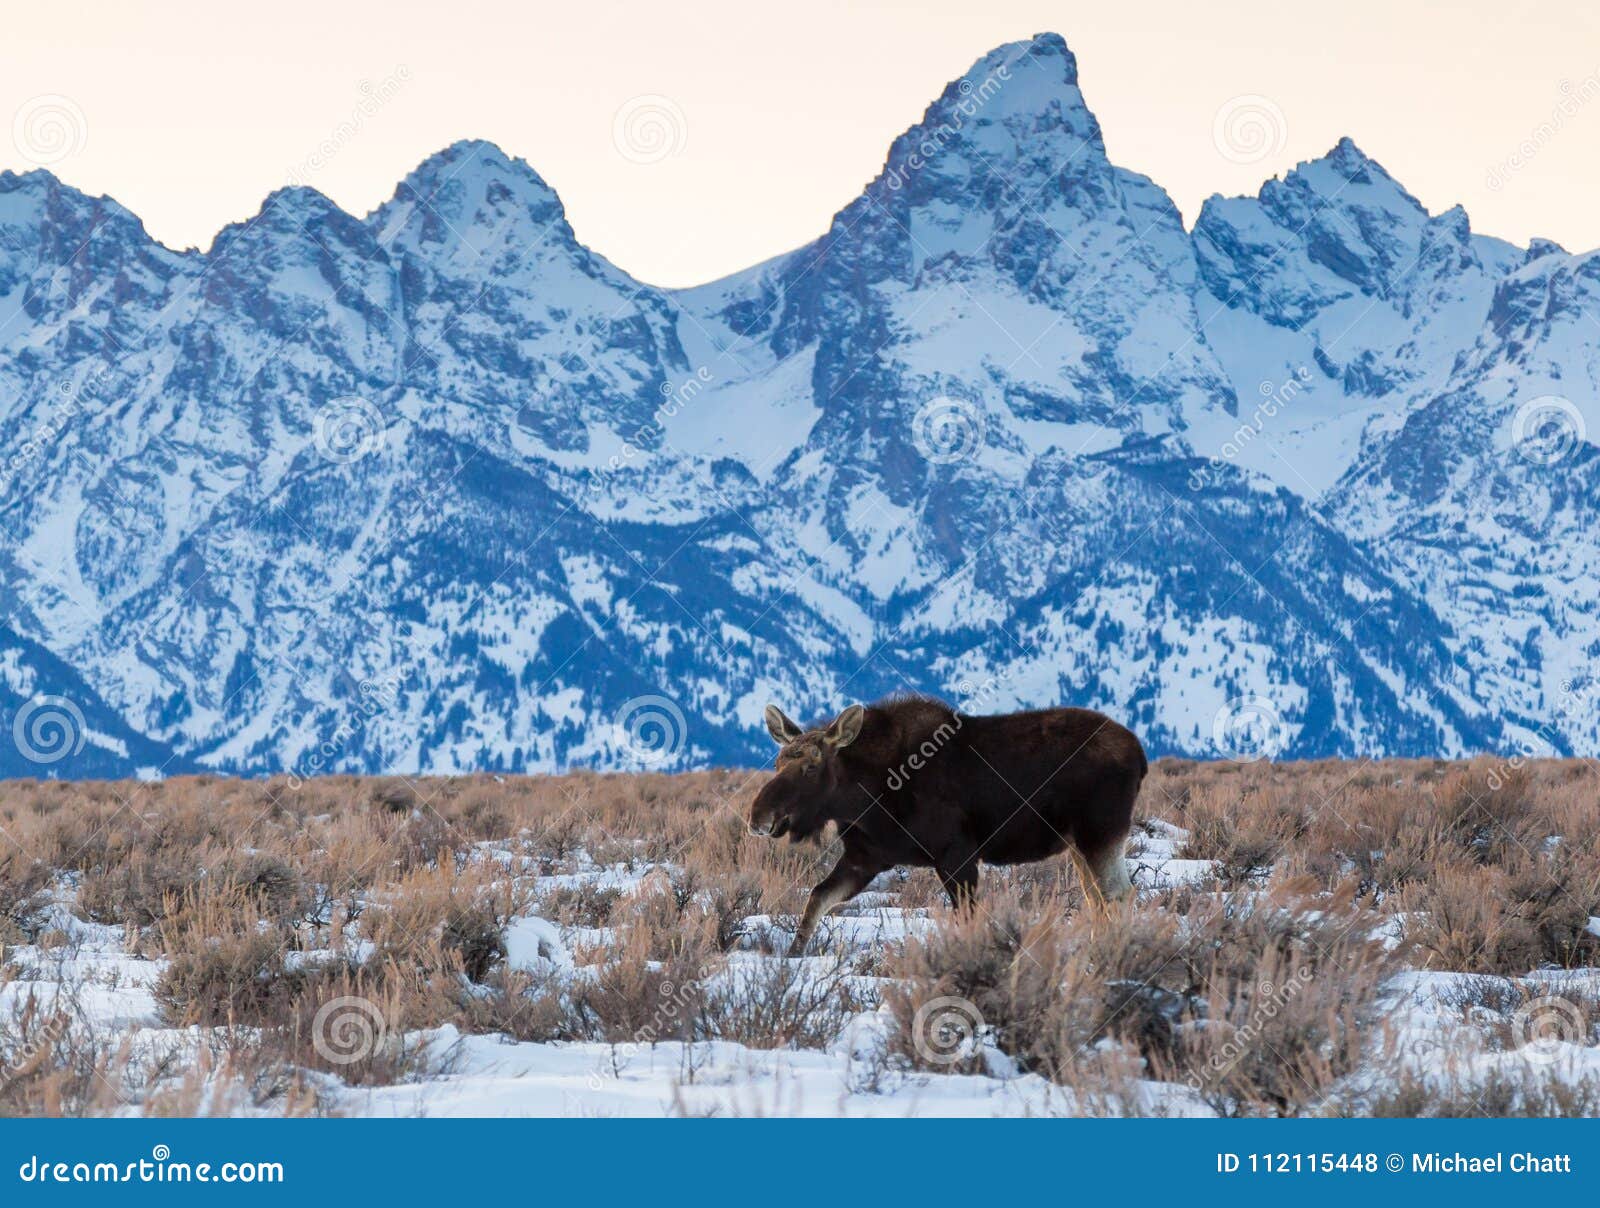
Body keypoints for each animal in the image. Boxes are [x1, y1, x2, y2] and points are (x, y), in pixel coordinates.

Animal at [748, 695, 1146, 956]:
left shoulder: (956, 854)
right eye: (778, 762)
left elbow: (968, 918)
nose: (758, 816)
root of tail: (1140, 755)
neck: (864, 795)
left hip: (1101, 832)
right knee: (1099, 898)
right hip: (1080, 843)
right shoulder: (865, 857)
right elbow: (817, 899)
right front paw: (793, 957)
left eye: (811, 767)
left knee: (1118, 895)